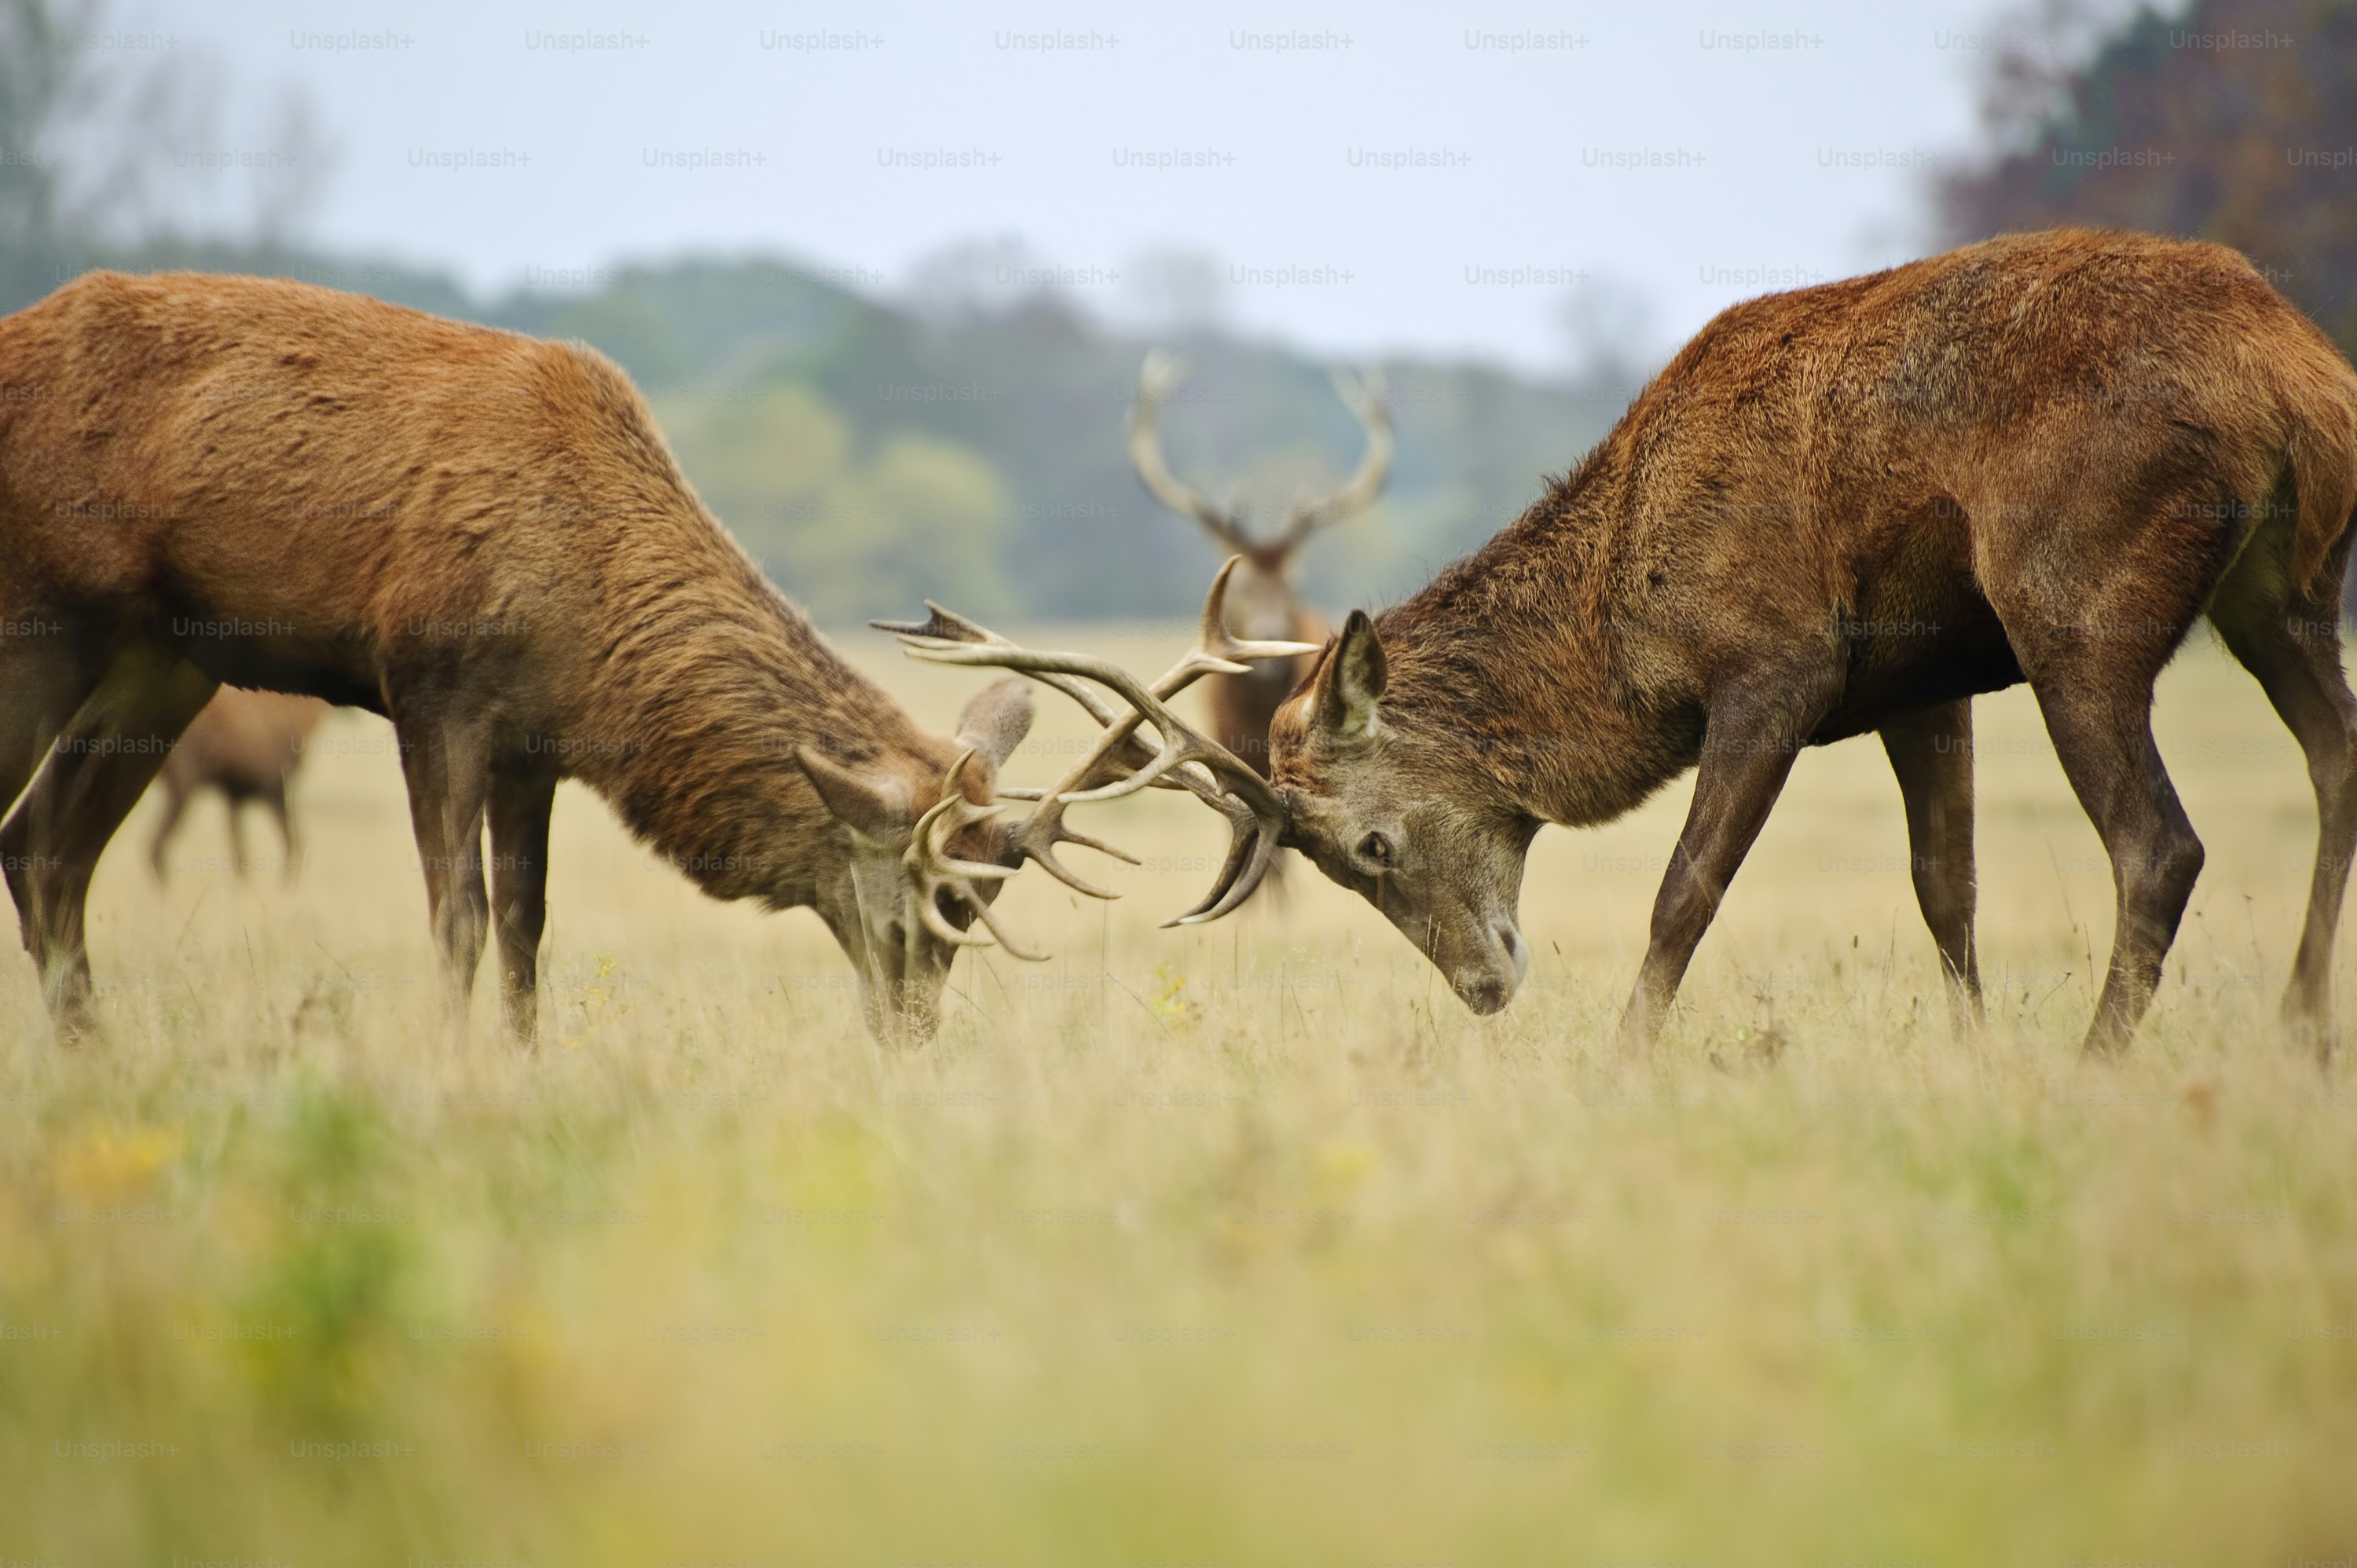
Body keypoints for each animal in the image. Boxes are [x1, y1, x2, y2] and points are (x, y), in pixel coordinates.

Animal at [147, 687, 329, 881]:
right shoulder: (272, 786)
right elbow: (292, 842)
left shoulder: (235, 794)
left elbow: (239, 851)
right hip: (184, 785)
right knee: (155, 844)